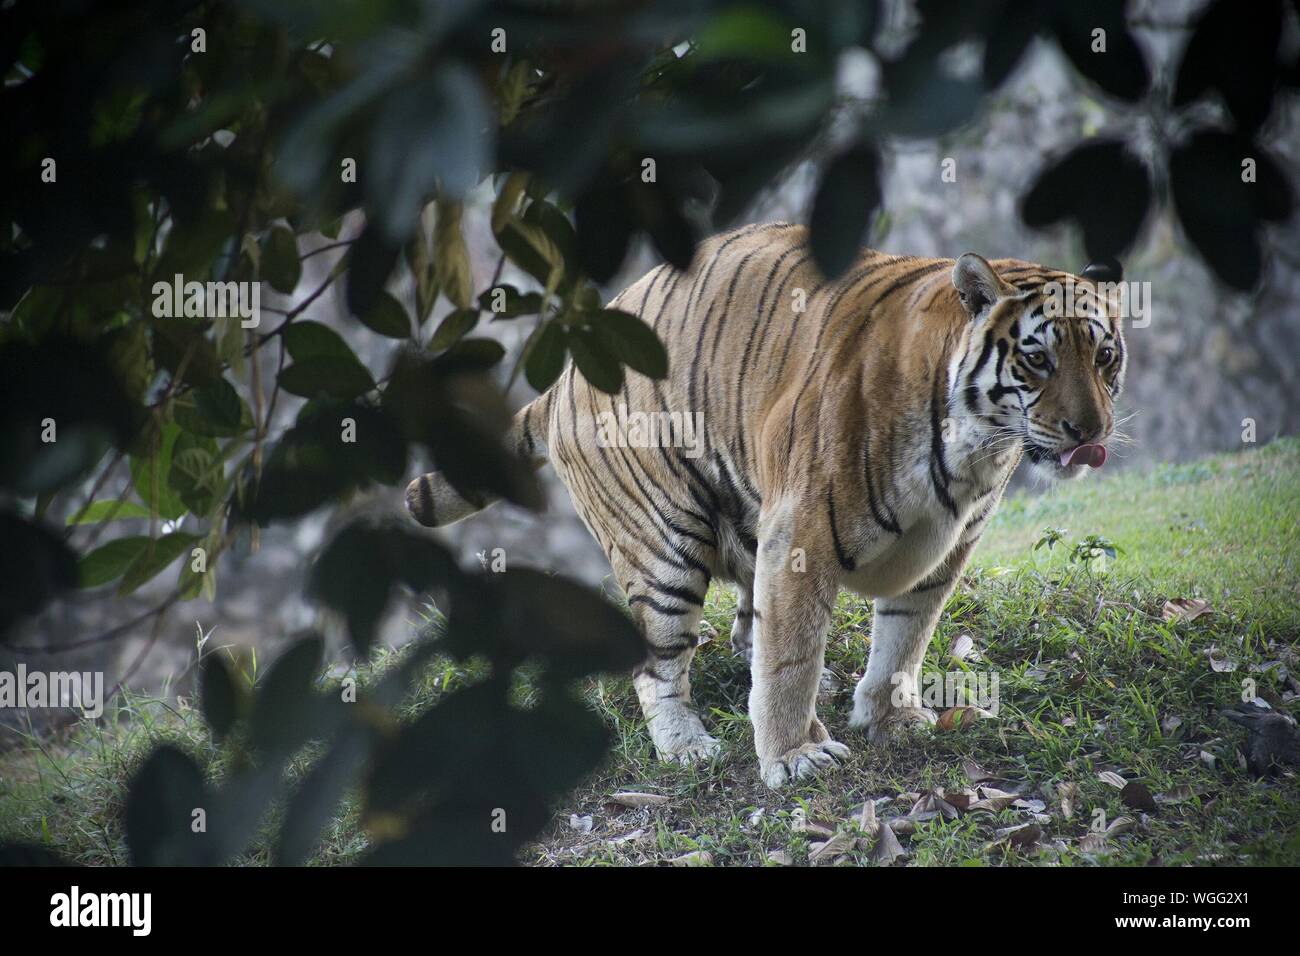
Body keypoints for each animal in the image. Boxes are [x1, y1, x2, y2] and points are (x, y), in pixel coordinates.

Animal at [405, 222, 1127, 789]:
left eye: (1104, 355)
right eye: (1037, 359)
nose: (1088, 431)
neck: (972, 447)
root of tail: (559, 380)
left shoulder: (946, 546)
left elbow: (905, 635)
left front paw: (888, 718)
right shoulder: (802, 533)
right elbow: (791, 658)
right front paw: (794, 756)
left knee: (746, 626)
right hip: (663, 545)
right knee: (660, 660)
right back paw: (686, 745)